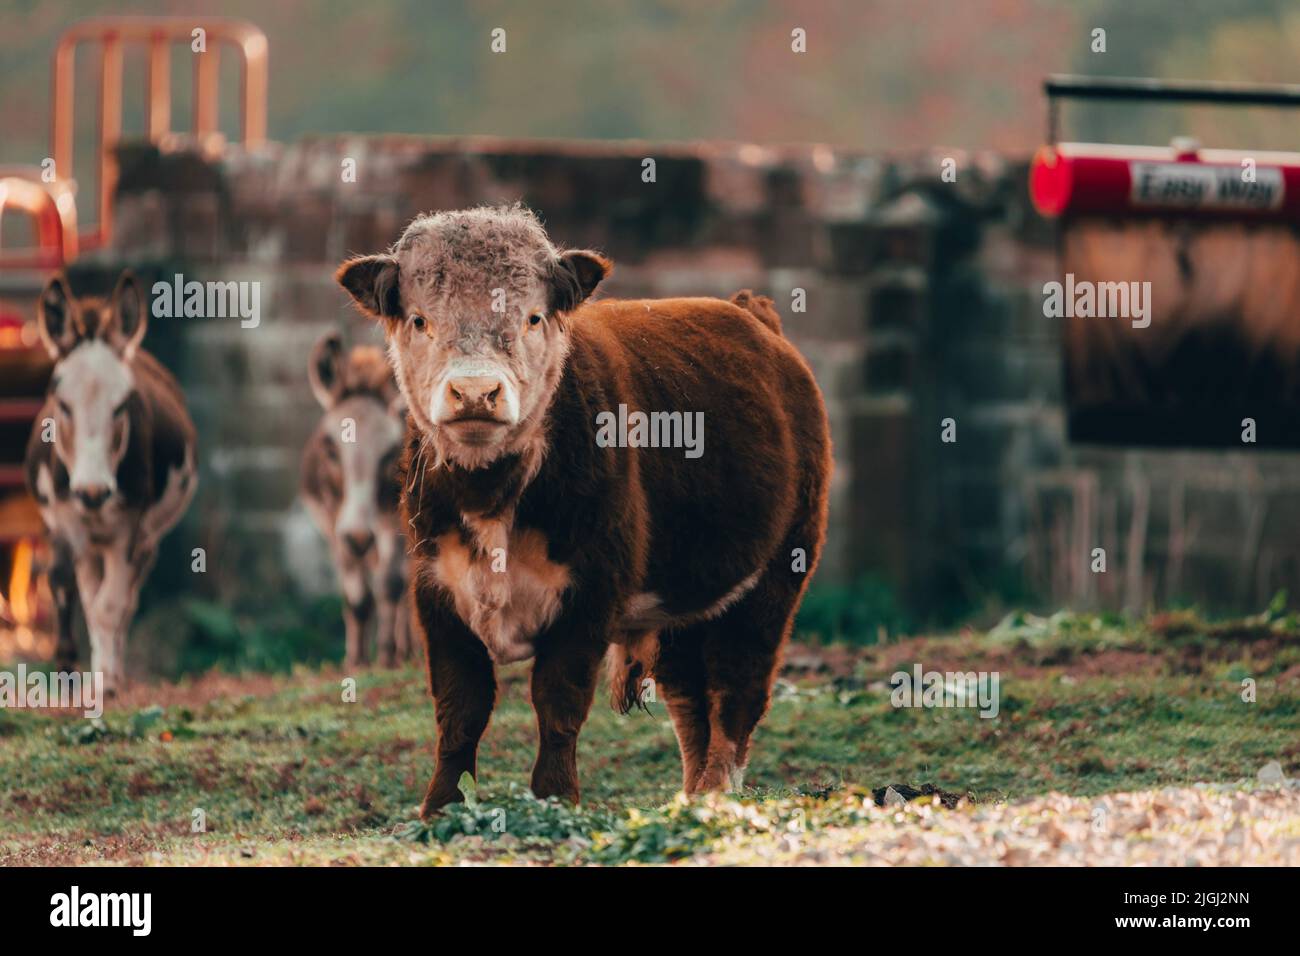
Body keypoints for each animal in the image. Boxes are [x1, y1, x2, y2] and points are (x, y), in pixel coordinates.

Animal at [24, 270, 197, 693]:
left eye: (121, 406)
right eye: (62, 404)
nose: (93, 492)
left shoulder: (127, 532)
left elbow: (110, 605)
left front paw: (105, 683)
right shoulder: (63, 522)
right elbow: (65, 586)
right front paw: (67, 669)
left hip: (146, 541)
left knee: (125, 600)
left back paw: (114, 671)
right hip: (90, 543)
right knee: (90, 592)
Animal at [301, 331, 412, 668]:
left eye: (390, 453)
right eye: (330, 450)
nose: (361, 537)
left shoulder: (394, 522)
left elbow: (390, 584)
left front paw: (387, 656)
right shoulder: (334, 523)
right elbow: (357, 596)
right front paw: (356, 661)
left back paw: (406, 651)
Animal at [336, 205, 830, 816]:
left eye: (532, 317)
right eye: (421, 320)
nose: (475, 393)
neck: (492, 498)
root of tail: (748, 313)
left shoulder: (590, 592)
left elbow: (558, 702)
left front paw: (555, 800)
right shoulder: (436, 592)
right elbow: (459, 708)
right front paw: (440, 809)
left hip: (776, 579)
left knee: (736, 693)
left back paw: (716, 795)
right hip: (681, 602)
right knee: (690, 704)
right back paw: (690, 797)